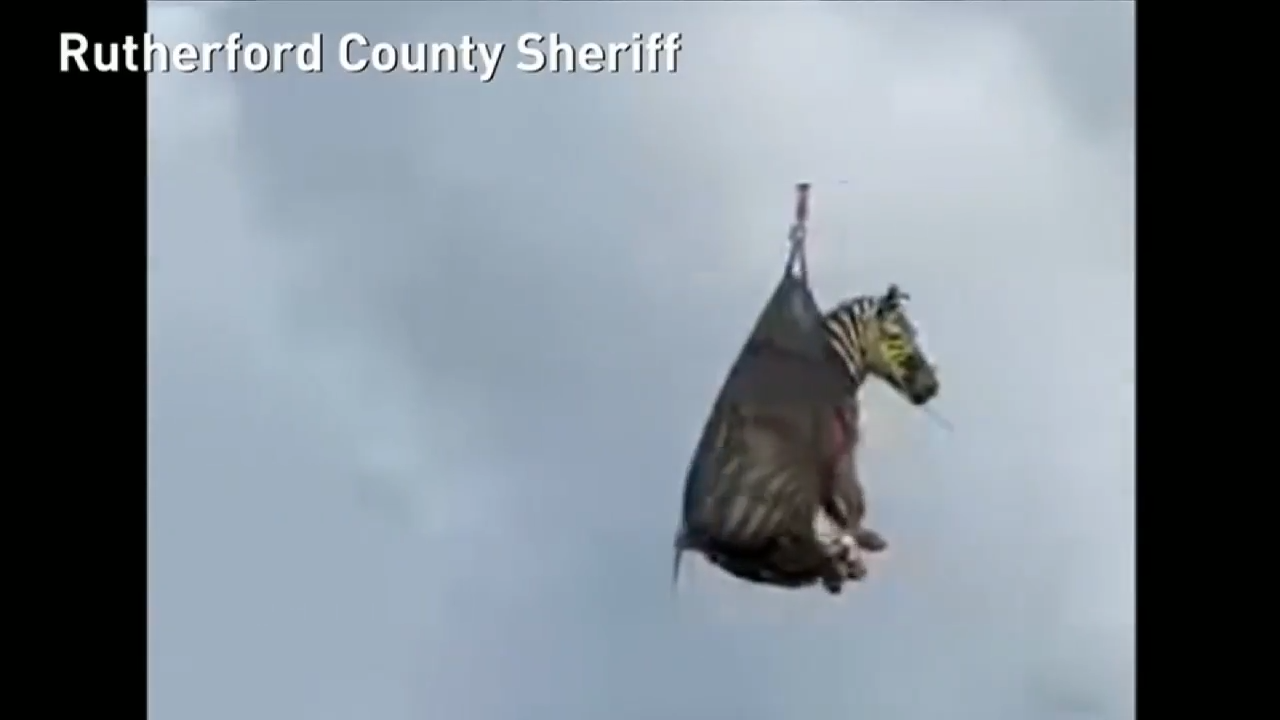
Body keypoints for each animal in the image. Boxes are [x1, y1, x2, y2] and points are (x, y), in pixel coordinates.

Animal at [675, 282, 940, 594]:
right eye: (897, 334)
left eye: (914, 332)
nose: (931, 387)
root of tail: (695, 538)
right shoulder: (841, 445)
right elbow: (852, 502)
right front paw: (863, 542)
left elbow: (838, 505)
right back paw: (842, 564)